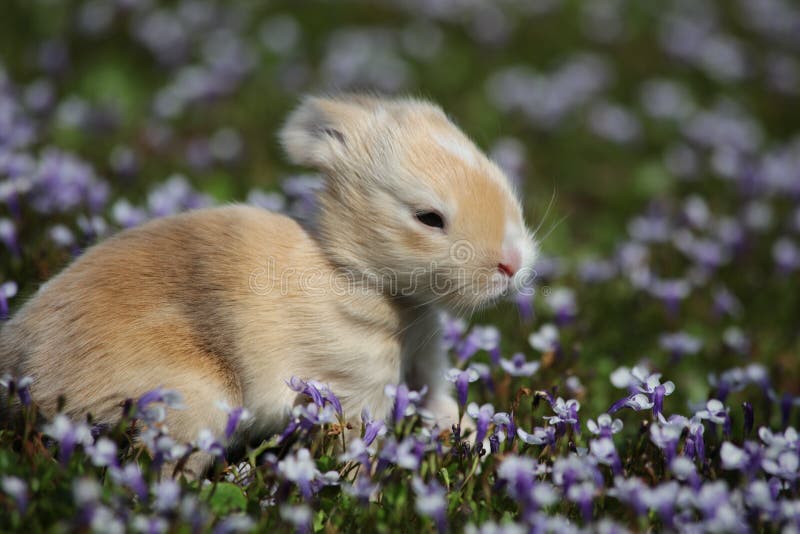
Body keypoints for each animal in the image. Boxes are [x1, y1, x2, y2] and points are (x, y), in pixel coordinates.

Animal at [0, 95, 538, 477]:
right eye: (428, 218)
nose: (512, 264)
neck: (356, 273)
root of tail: (21, 370)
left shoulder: (424, 362)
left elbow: (439, 403)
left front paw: (472, 438)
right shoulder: (358, 388)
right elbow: (361, 443)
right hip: (194, 404)